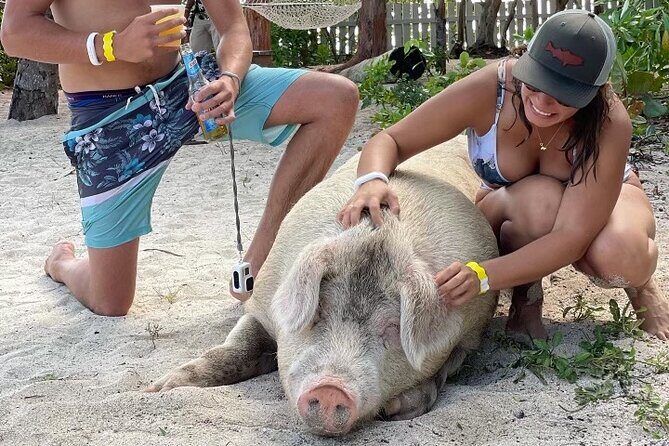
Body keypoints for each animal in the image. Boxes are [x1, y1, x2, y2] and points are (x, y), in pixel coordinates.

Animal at [147, 136, 499, 436]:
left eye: (393, 325)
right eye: (319, 308)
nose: (330, 390)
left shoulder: (468, 335)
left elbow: (442, 372)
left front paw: (396, 409)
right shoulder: (262, 304)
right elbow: (235, 348)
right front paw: (158, 388)